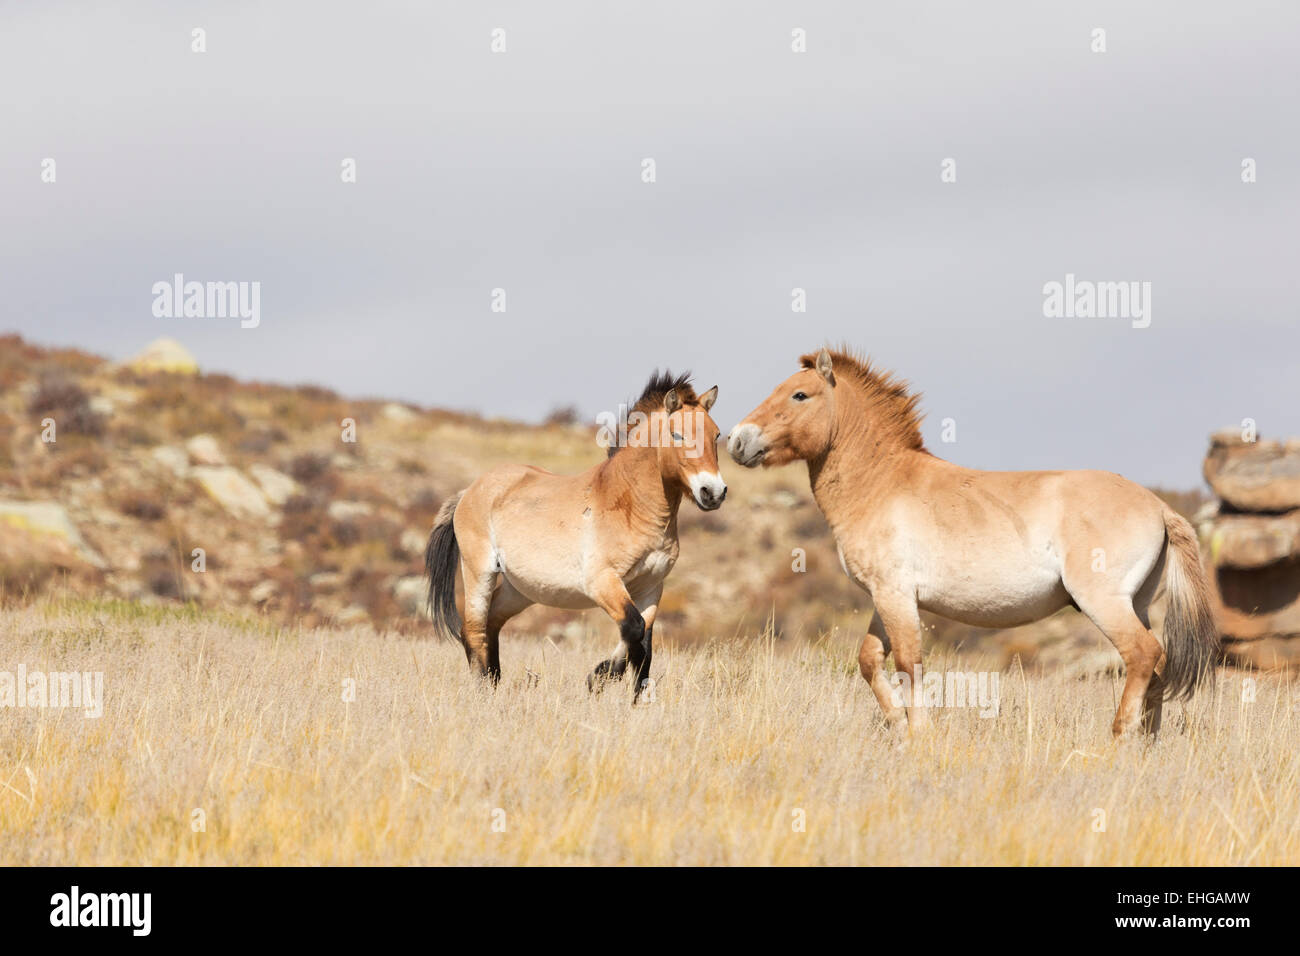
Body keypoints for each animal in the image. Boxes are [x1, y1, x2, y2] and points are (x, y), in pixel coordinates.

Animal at [426, 371, 725, 701]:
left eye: (716, 435)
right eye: (677, 435)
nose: (713, 492)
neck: (629, 505)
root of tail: (468, 491)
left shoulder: (651, 587)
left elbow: (643, 639)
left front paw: (623, 689)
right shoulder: (602, 582)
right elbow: (633, 629)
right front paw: (600, 679)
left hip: (521, 590)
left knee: (492, 622)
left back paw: (494, 681)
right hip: (479, 571)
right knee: (474, 629)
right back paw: (482, 689)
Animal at [727, 347, 1218, 737]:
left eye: (799, 395)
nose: (736, 440)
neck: (883, 483)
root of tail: (1158, 507)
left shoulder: (895, 596)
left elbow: (909, 663)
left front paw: (919, 734)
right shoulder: (888, 599)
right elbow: (870, 660)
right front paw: (897, 725)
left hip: (1104, 602)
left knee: (1142, 655)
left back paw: (1120, 738)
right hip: (1136, 604)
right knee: (1156, 668)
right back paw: (1147, 744)